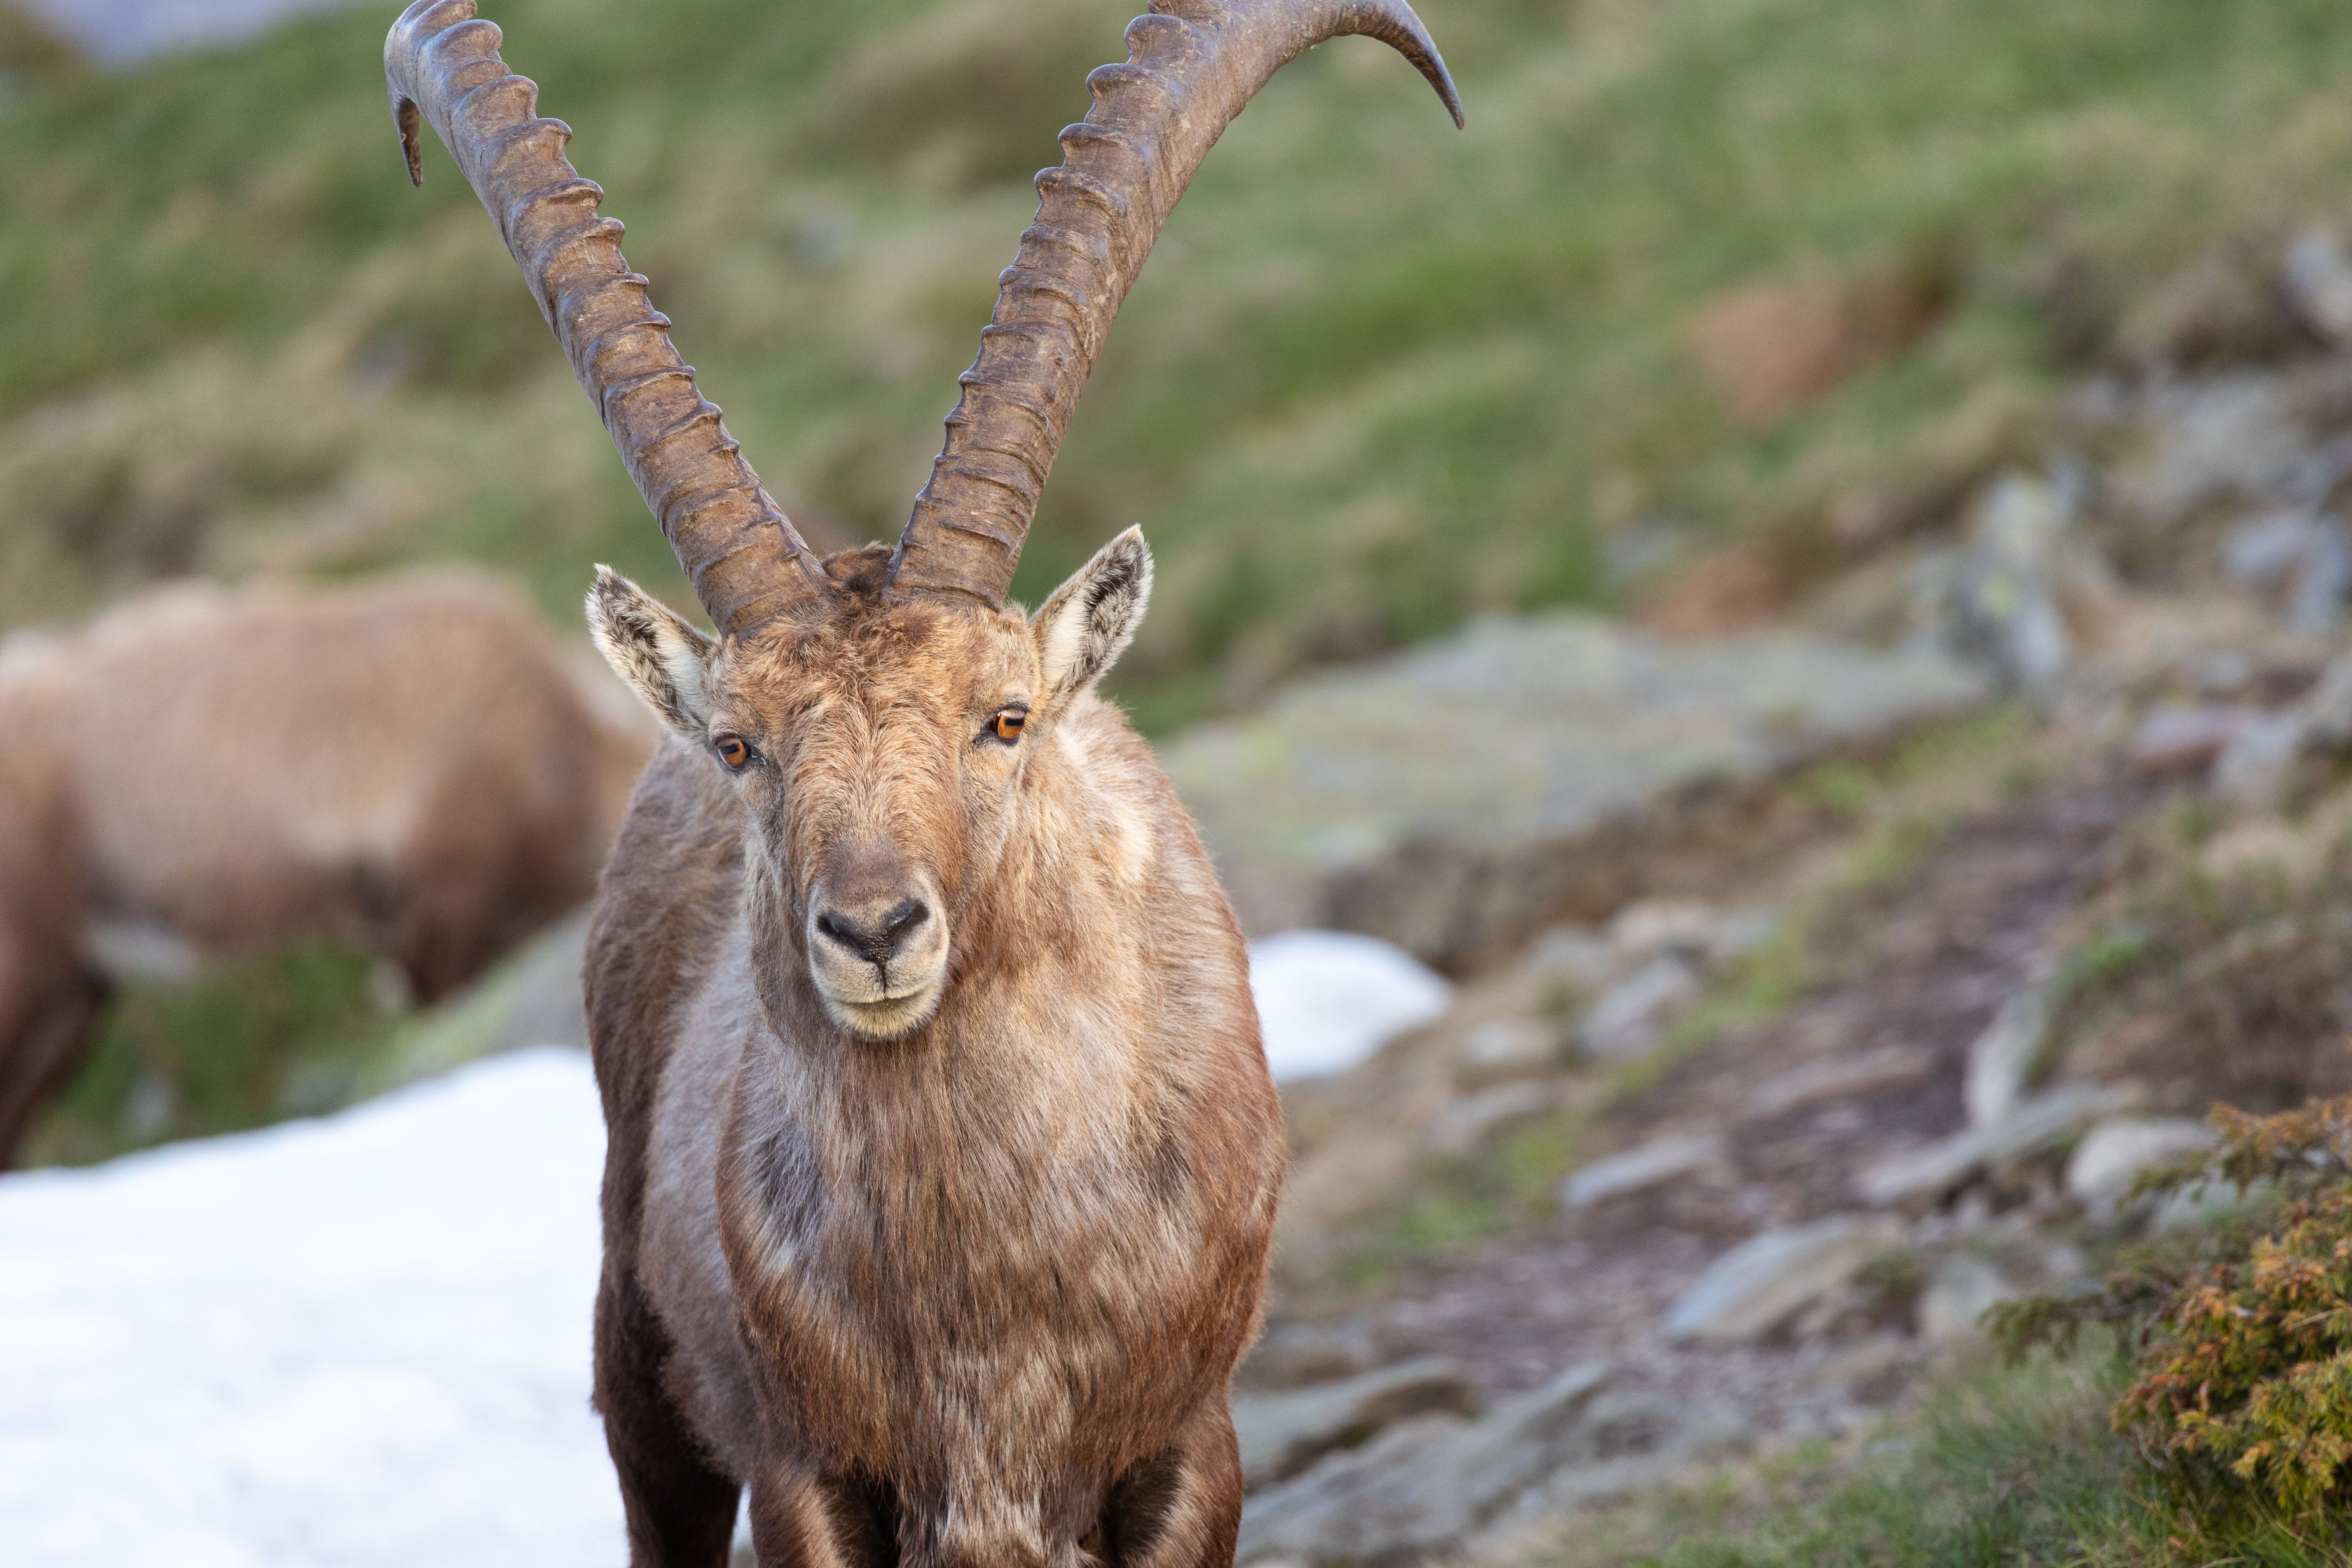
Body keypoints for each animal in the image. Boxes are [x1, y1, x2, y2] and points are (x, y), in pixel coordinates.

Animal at [387, 0, 1460, 1562]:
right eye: (741, 746)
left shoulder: (1189, 1447)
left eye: (1002, 719)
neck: (989, 1300)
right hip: (637, 1361)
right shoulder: (809, 1470)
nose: (877, 930)